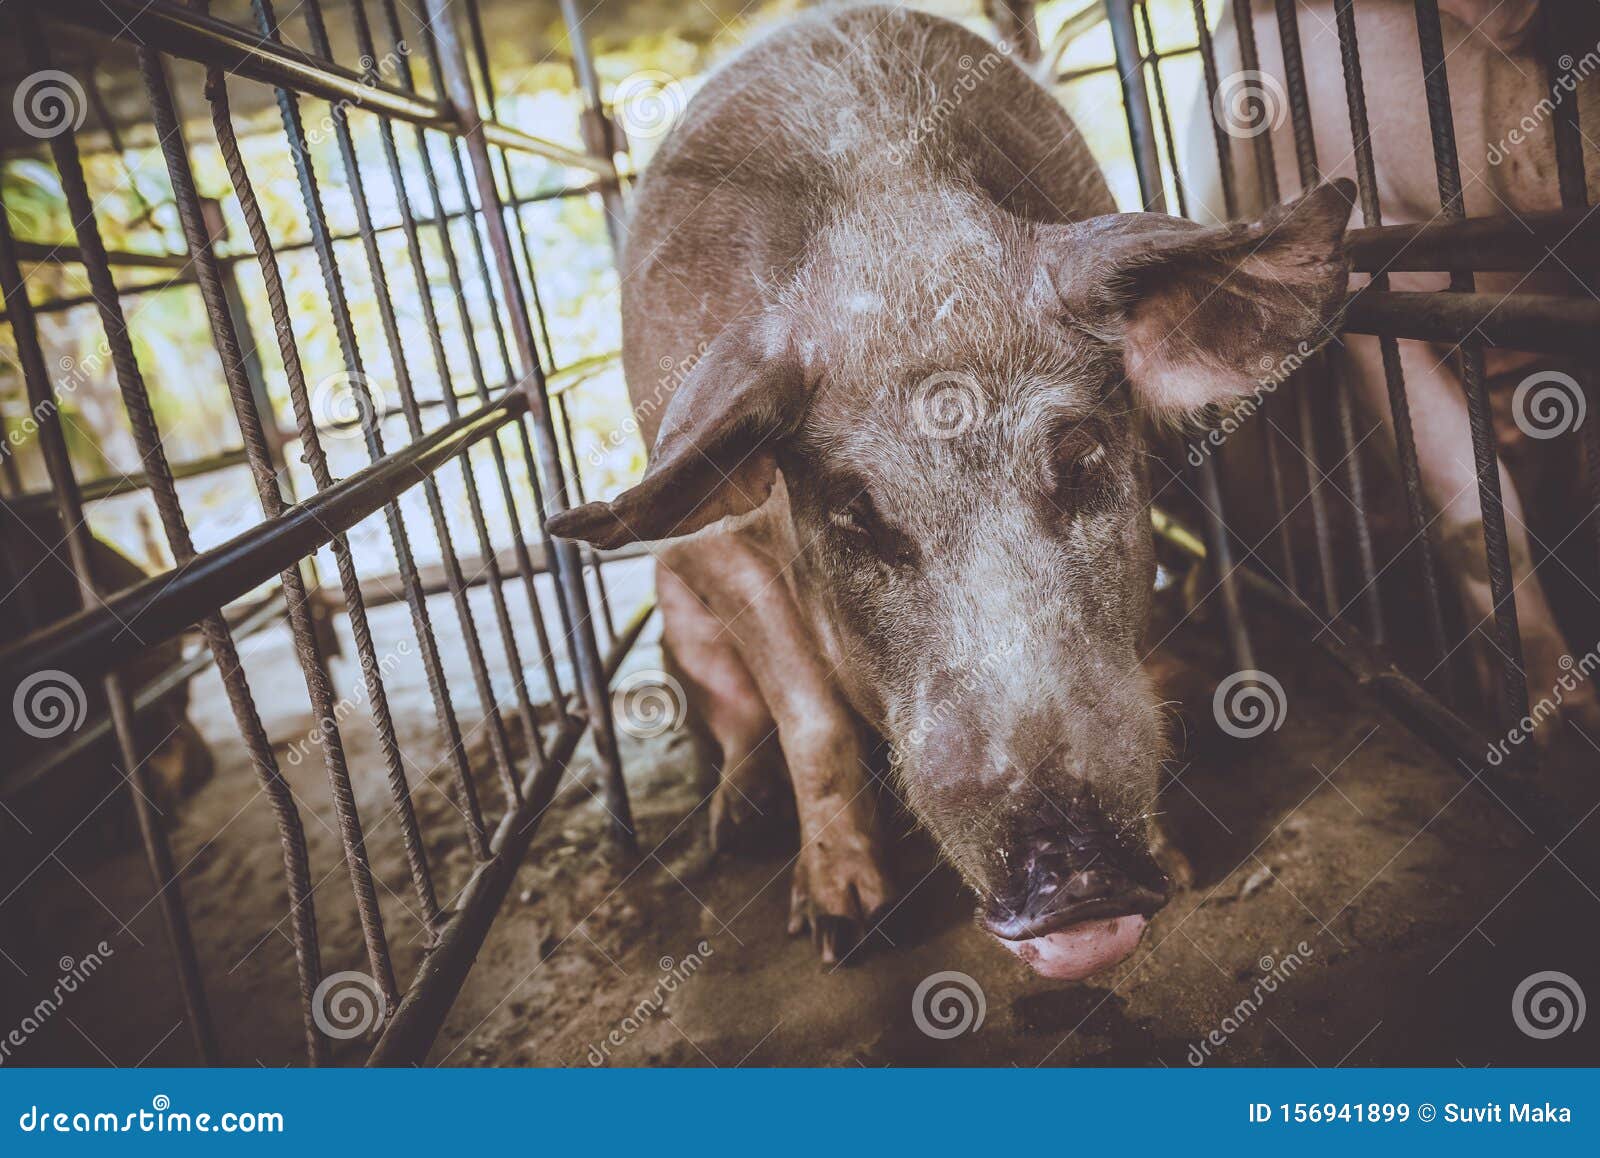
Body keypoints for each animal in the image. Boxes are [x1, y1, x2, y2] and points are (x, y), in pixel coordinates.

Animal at [550, 3, 1354, 975]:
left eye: (1081, 462)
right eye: (858, 518)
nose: (1081, 880)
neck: (893, 228)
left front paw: (1185, 863)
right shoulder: (716, 544)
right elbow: (810, 717)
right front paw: (840, 931)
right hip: (676, 604)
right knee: (733, 717)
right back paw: (740, 824)